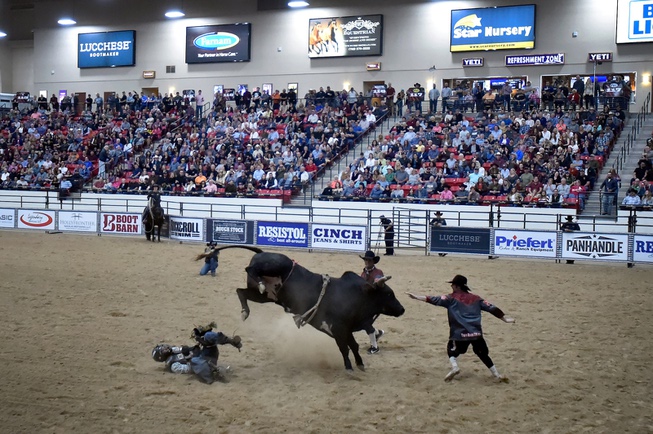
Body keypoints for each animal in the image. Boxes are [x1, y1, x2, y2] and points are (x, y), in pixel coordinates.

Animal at [205, 245, 405, 371]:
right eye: (389, 294)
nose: (402, 309)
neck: (357, 295)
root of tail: (262, 252)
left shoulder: (346, 329)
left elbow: (354, 346)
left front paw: (360, 364)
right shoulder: (339, 329)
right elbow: (344, 348)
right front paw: (349, 367)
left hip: (266, 297)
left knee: (241, 291)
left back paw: (246, 311)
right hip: (275, 268)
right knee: (250, 270)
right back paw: (259, 284)